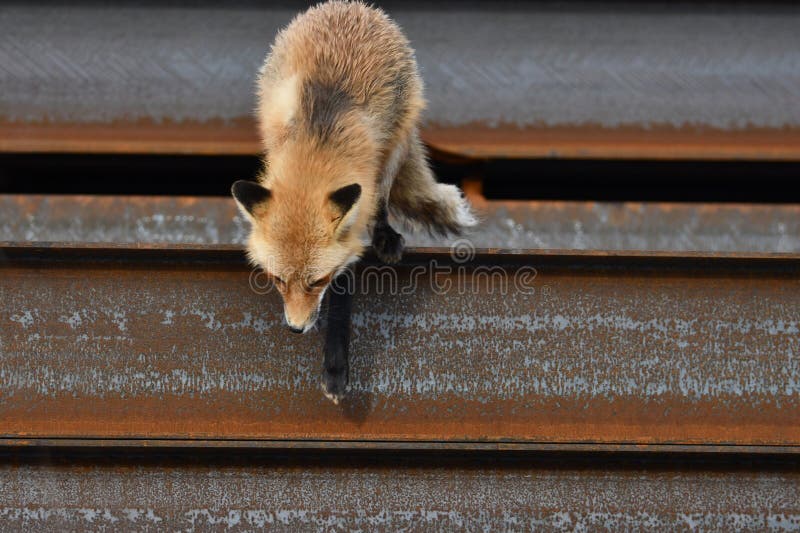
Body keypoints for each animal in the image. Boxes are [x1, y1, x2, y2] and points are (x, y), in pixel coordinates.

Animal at [231, 0, 476, 403]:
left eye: (318, 281)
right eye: (278, 280)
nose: (296, 328)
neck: (317, 144)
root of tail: (352, 6)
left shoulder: (354, 223)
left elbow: (343, 298)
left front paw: (335, 371)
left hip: (395, 140)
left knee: (384, 198)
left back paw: (387, 238)